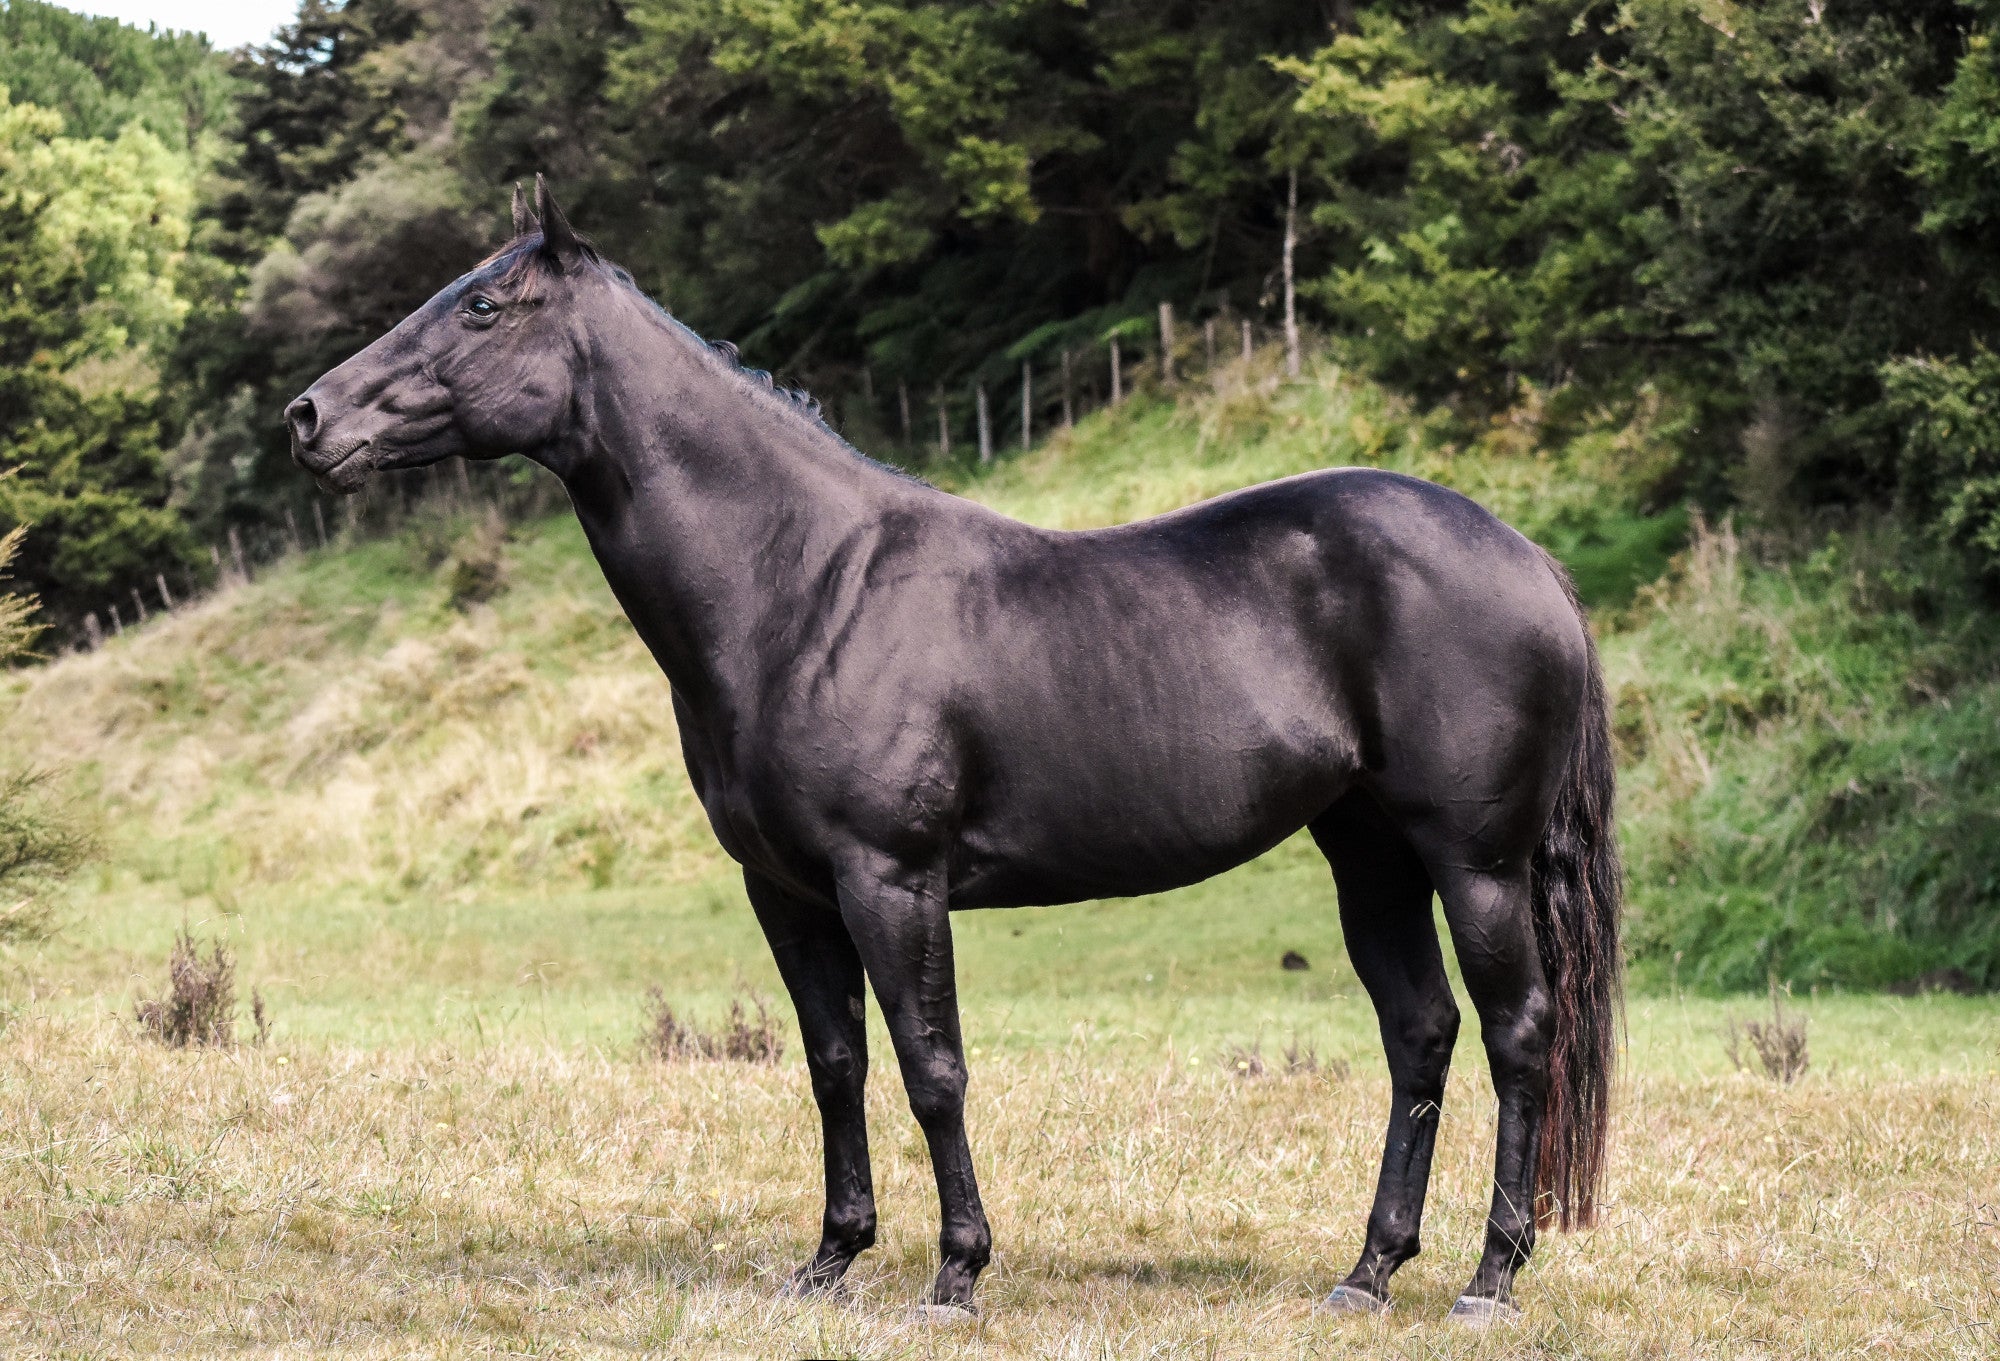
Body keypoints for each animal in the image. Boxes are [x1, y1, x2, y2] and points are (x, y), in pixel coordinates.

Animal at [287, 179, 1622, 1323]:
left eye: (482, 305)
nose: (308, 417)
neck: (803, 587)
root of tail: (1528, 558)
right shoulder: (785, 892)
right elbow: (833, 1062)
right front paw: (829, 1258)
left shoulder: (892, 878)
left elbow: (932, 1065)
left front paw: (956, 1272)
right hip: (1368, 856)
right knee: (1419, 1034)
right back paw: (1367, 1270)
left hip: (1474, 863)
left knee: (1517, 1034)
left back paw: (1487, 1277)